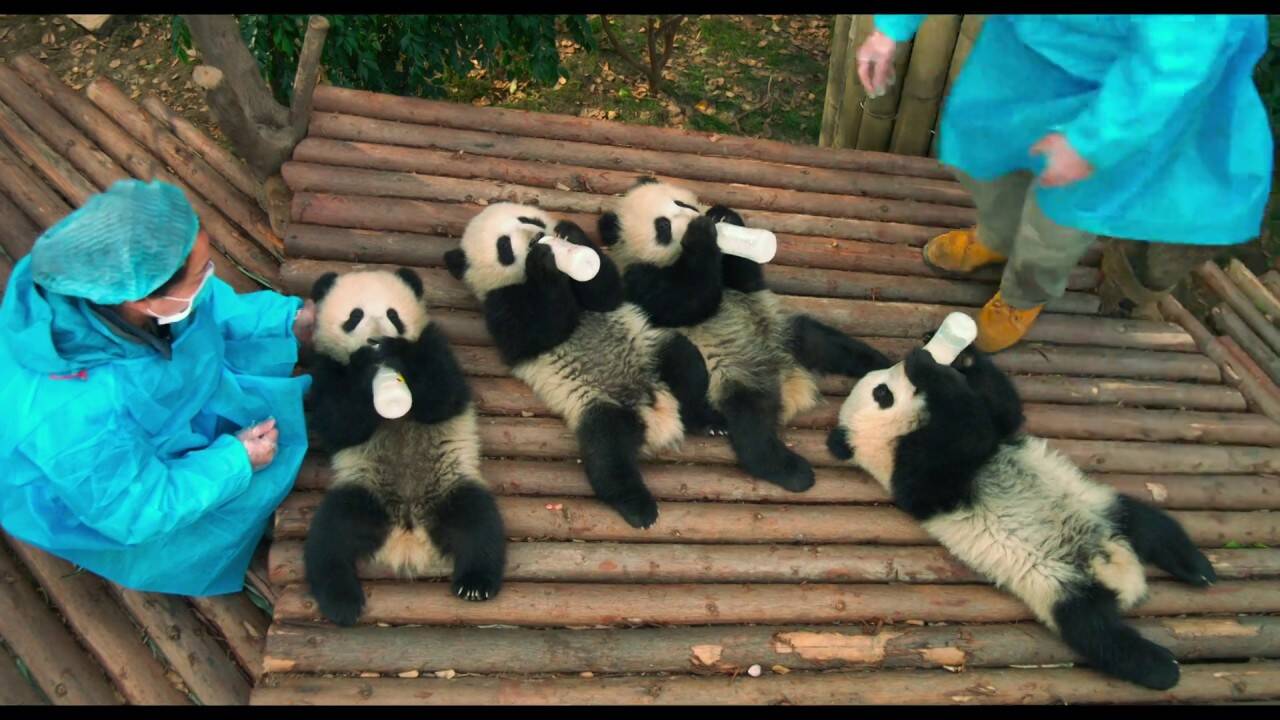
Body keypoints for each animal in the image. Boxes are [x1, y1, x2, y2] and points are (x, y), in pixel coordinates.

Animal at [304, 268, 506, 626]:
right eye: (354, 316)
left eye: (393, 315)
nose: (375, 341)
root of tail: (408, 532)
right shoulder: (325, 369)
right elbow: (338, 425)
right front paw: (363, 362)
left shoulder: (434, 346)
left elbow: (442, 396)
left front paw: (394, 351)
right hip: (363, 491)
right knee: (330, 538)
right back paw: (341, 602)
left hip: (450, 486)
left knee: (478, 524)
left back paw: (475, 584)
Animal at [445, 203, 721, 530]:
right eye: (504, 246)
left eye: (526, 218)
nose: (536, 237)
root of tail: (654, 412)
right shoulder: (501, 307)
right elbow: (538, 332)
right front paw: (543, 264)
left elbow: (606, 293)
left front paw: (570, 233)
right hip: (595, 404)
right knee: (607, 451)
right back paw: (638, 507)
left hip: (651, 350)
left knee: (687, 366)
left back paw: (707, 420)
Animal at [597, 178, 892, 492]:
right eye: (662, 227)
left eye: (681, 203)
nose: (694, 218)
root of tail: (788, 378)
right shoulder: (639, 282)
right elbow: (686, 303)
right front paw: (701, 235)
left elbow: (744, 279)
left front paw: (724, 216)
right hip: (733, 376)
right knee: (751, 425)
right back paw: (791, 470)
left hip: (784, 333)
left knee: (827, 344)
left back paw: (881, 364)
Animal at [825, 338, 1217, 690]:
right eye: (882, 393)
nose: (904, 364)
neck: (900, 434)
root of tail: (1115, 573)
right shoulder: (917, 477)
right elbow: (968, 433)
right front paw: (932, 369)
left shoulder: (998, 438)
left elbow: (1002, 412)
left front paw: (958, 354)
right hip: (1057, 590)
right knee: (1098, 634)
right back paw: (1163, 668)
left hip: (1102, 506)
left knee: (1153, 527)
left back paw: (1200, 570)